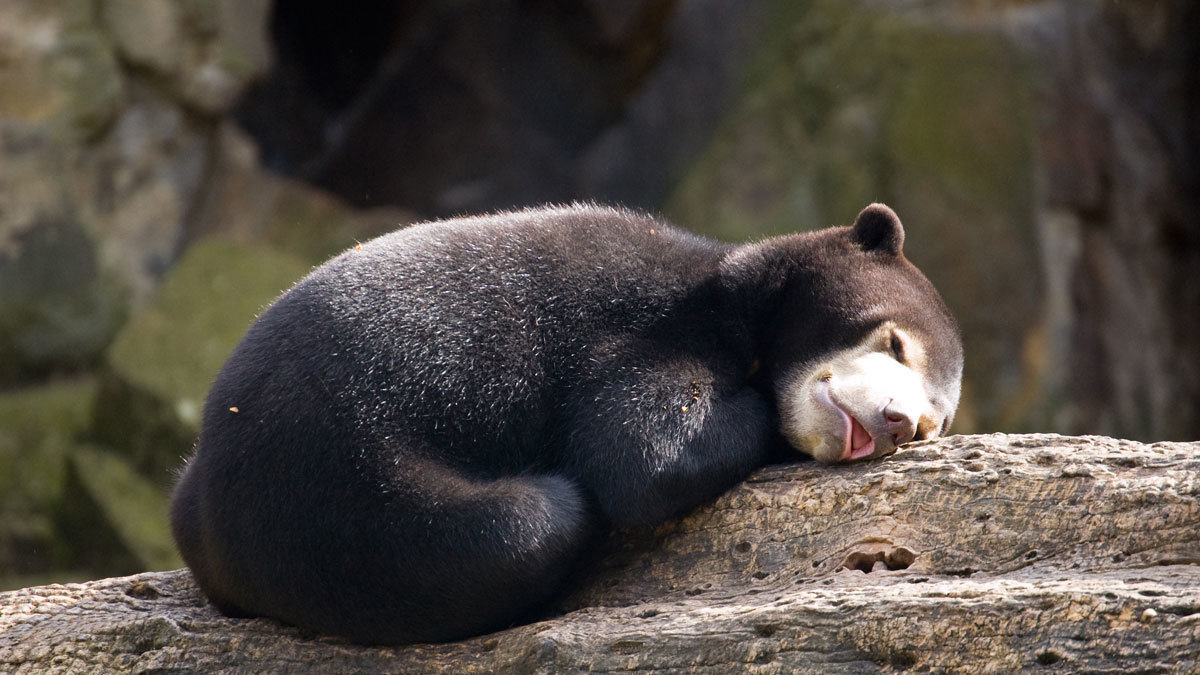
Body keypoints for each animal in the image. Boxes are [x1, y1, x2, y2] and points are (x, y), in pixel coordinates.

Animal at [170, 202, 962, 645]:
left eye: (930, 424)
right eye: (896, 342)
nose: (894, 421)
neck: (740, 308)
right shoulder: (644, 328)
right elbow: (643, 455)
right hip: (354, 508)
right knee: (538, 517)